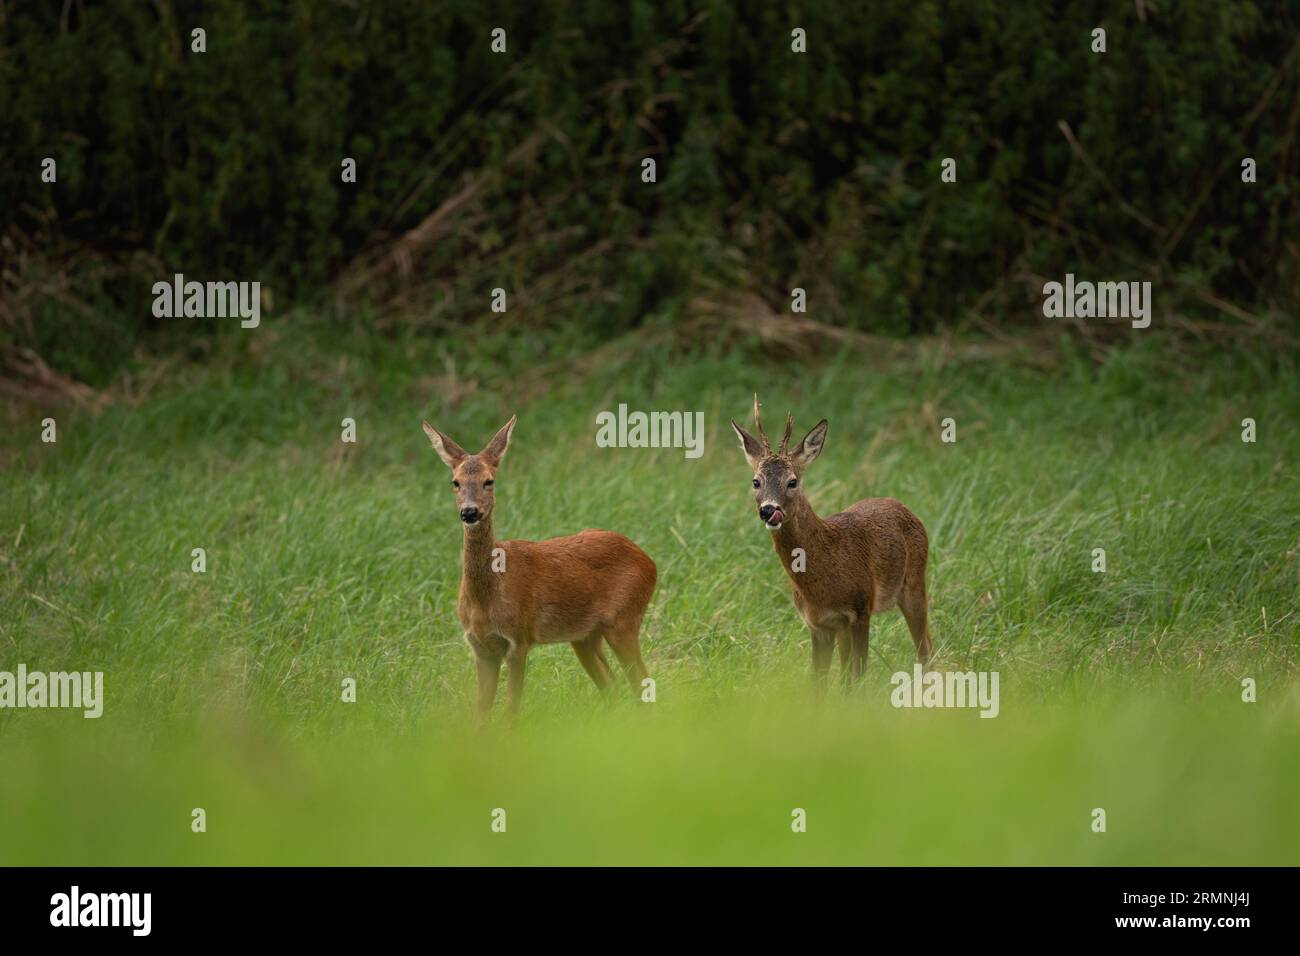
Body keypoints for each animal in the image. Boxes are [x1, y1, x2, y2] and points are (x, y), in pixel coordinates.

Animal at [421, 415, 657, 722]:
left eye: (489, 481)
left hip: (624, 619)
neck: (487, 597)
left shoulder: (518, 639)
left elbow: (512, 708)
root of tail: (649, 561)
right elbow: (480, 714)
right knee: (613, 686)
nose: (470, 512)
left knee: (641, 681)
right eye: (455, 482)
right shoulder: (481, 647)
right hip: (585, 636)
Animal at [730, 396, 932, 689]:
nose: (769, 510)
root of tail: (904, 507)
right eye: (756, 481)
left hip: (914, 584)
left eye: (793, 481)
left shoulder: (860, 611)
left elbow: (858, 677)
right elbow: (821, 682)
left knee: (925, 647)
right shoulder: (819, 624)